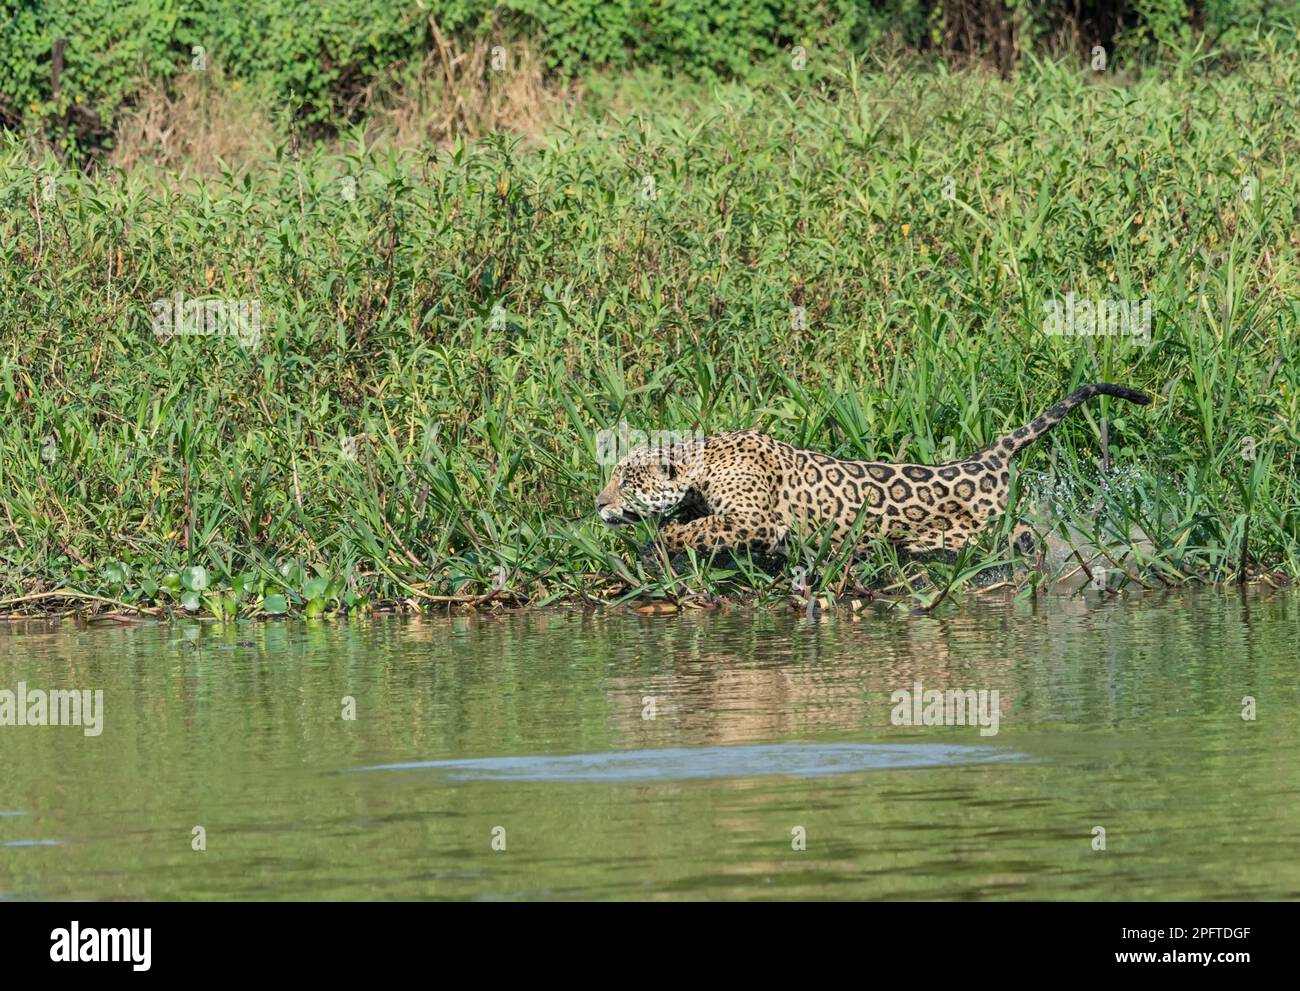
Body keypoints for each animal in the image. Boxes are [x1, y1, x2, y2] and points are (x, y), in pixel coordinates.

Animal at [594, 383, 1151, 560]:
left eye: (628, 478)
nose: (598, 502)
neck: (706, 462)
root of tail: (985, 457)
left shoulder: (753, 520)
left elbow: (693, 531)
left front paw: (659, 542)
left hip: (978, 531)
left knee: (1018, 537)